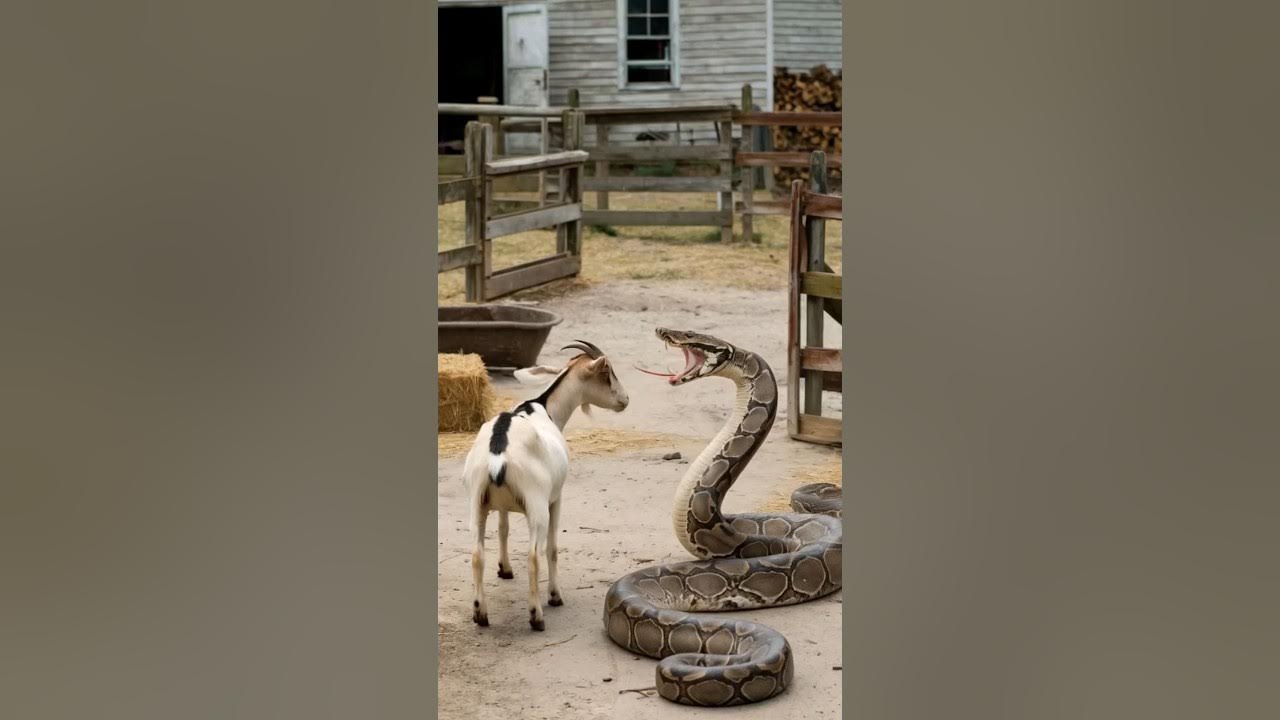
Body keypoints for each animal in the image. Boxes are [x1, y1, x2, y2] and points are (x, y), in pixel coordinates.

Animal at [462, 340, 629, 631]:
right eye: (607, 373)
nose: (625, 400)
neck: (543, 407)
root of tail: (498, 453)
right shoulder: (556, 498)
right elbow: (552, 548)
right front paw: (555, 595)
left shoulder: (501, 505)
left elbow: (503, 529)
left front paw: (505, 569)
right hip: (536, 507)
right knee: (533, 556)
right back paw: (537, 615)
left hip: (476, 503)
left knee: (476, 554)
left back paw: (480, 614)